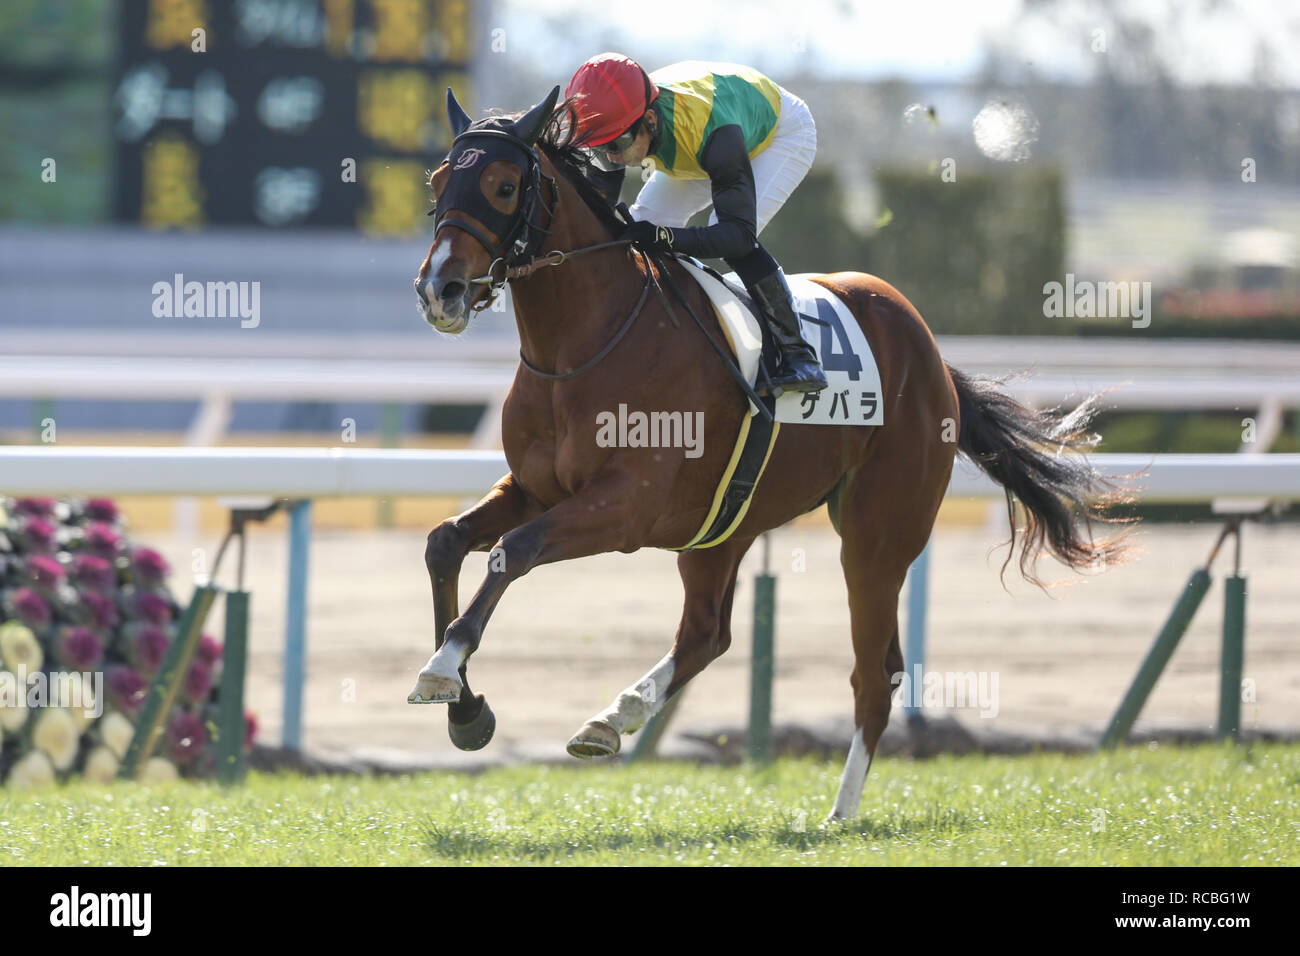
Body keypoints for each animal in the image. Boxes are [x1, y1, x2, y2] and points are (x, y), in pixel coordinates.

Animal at [413, 85, 1127, 821]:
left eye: (502, 186)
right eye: (437, 182)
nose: (438, 288)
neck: (582, 344)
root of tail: (932, 355)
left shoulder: (625, 508)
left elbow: (513, 550)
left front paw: (443, 669)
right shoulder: (538, 488)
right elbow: (446, 542)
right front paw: (466, 708)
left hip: (876, 533)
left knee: (875, 671)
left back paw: (840, 812)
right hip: (721, 525)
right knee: (707, 633)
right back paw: (613, 719)